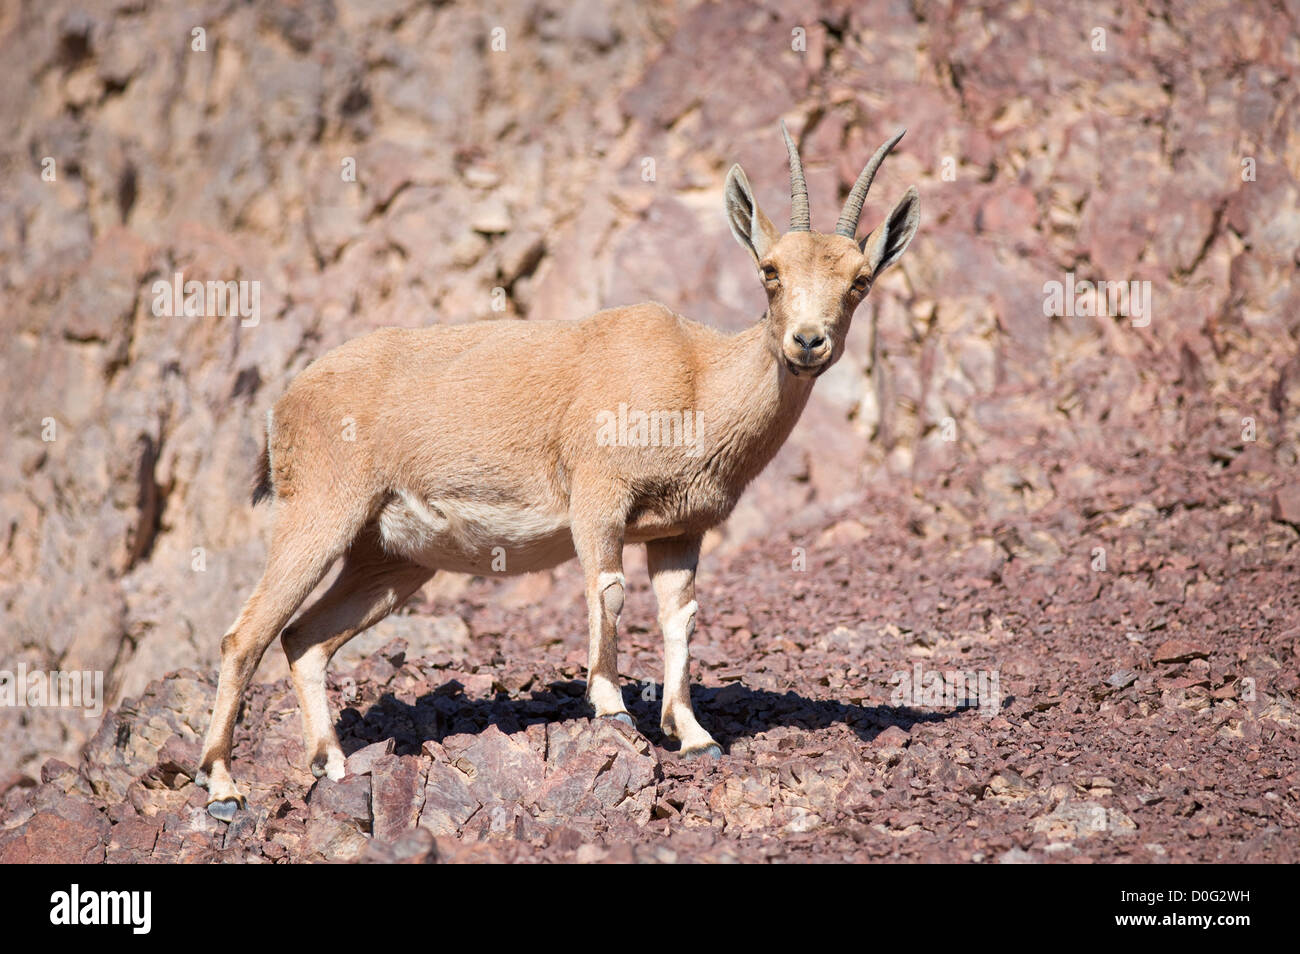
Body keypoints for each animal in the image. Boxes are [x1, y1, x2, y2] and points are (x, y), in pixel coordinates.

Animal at [196, 122, 920, 819]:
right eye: (770, 269)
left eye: (859, 280)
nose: (807, 342)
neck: (696, 380)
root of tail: (285, 404)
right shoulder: (599, 498)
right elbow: (608, 592)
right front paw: (612, 710)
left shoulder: (678, 531)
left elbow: (679, 617)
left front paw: (695, 736)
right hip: (321, 512)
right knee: (245, 636)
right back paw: (223, 786)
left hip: (388, 559)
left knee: (304, 639)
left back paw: (333, 763)